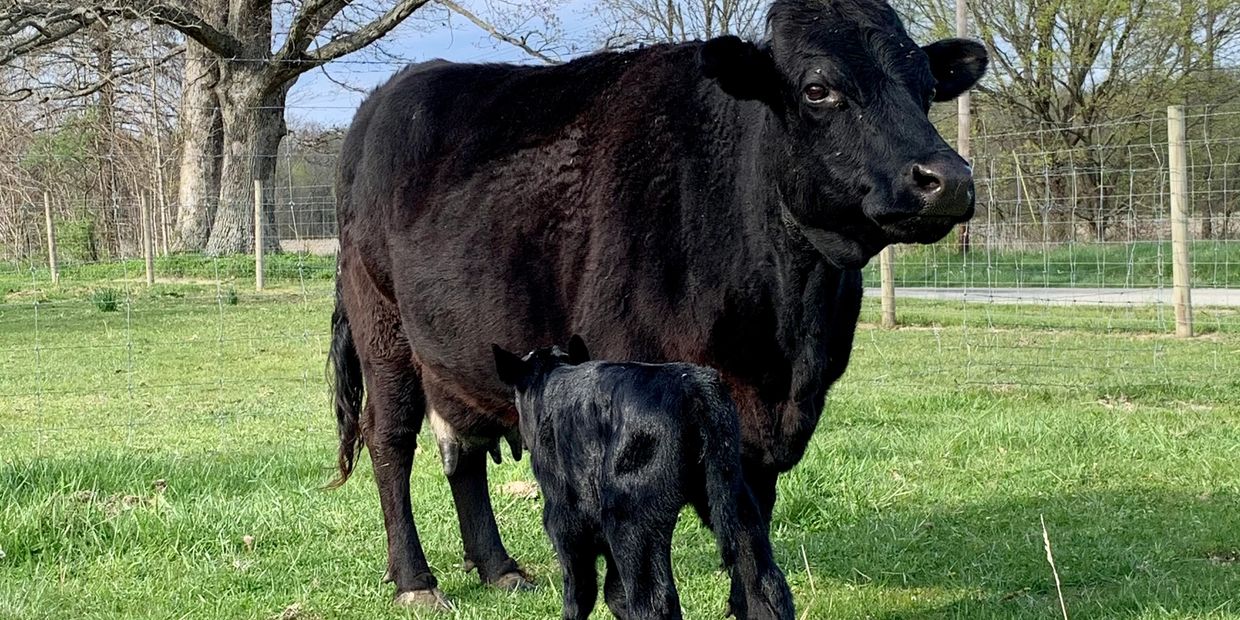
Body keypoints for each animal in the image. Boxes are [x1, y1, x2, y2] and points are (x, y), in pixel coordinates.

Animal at [488, 339, 788, 620]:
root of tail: (694, 384)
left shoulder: (563, 521)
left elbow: (580, 591)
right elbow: (615, 591)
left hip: (631, 521)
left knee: (653, 601)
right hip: (734, 500)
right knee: (765, 584)